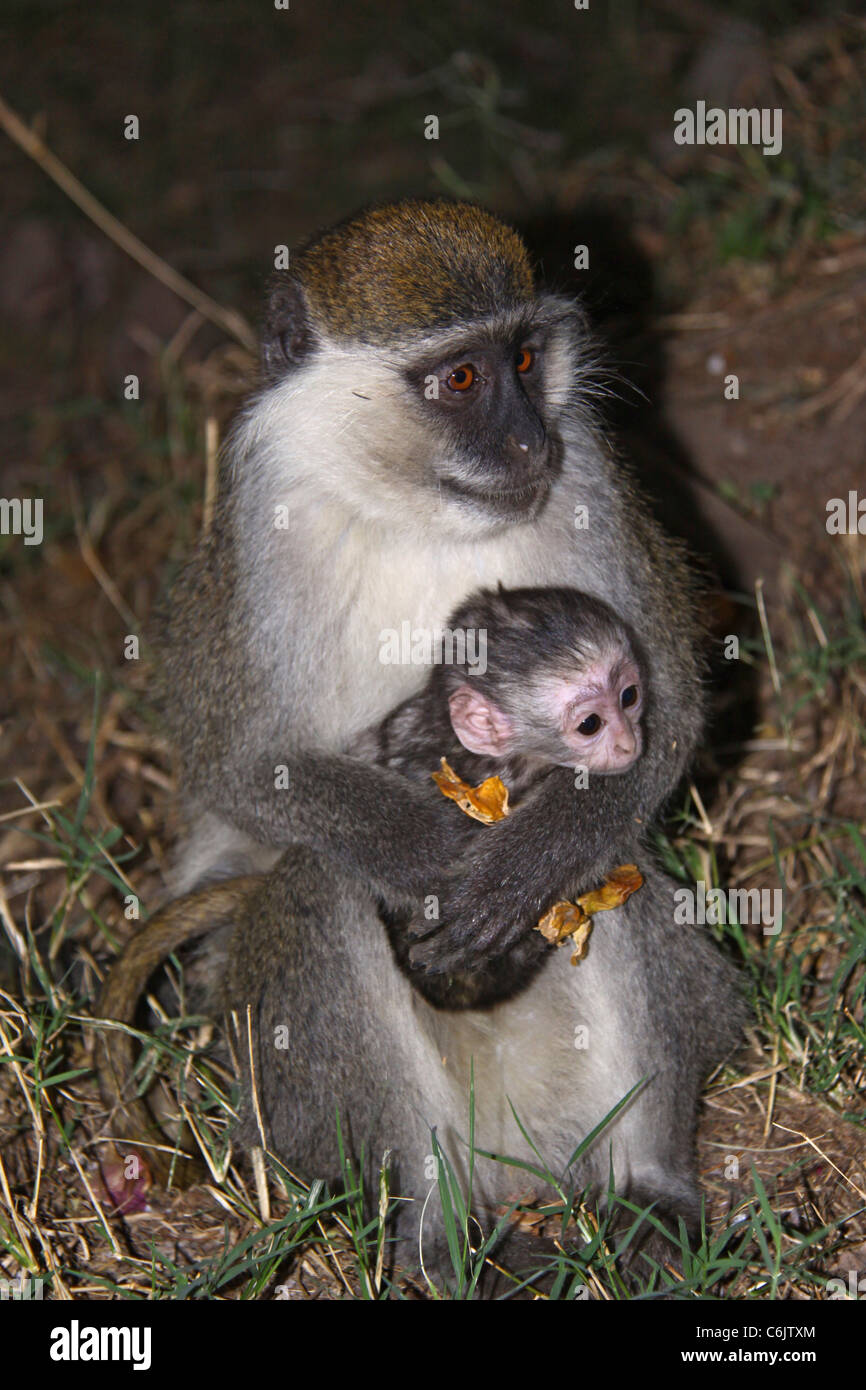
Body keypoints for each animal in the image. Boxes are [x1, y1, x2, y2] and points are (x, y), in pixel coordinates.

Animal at [112, 199, 745, 1280]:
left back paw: (647, 1188)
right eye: (461, 379)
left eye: (525, 359)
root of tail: (519, 1165)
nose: (527, 442)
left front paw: (518, 863)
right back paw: (438, 1231)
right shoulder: (254, 522)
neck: (417, 509)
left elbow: (669, 713)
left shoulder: (591, 476)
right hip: (282, 1097)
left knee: (603, 868)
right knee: (320, 886)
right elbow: (239, 763)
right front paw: (435, 854)